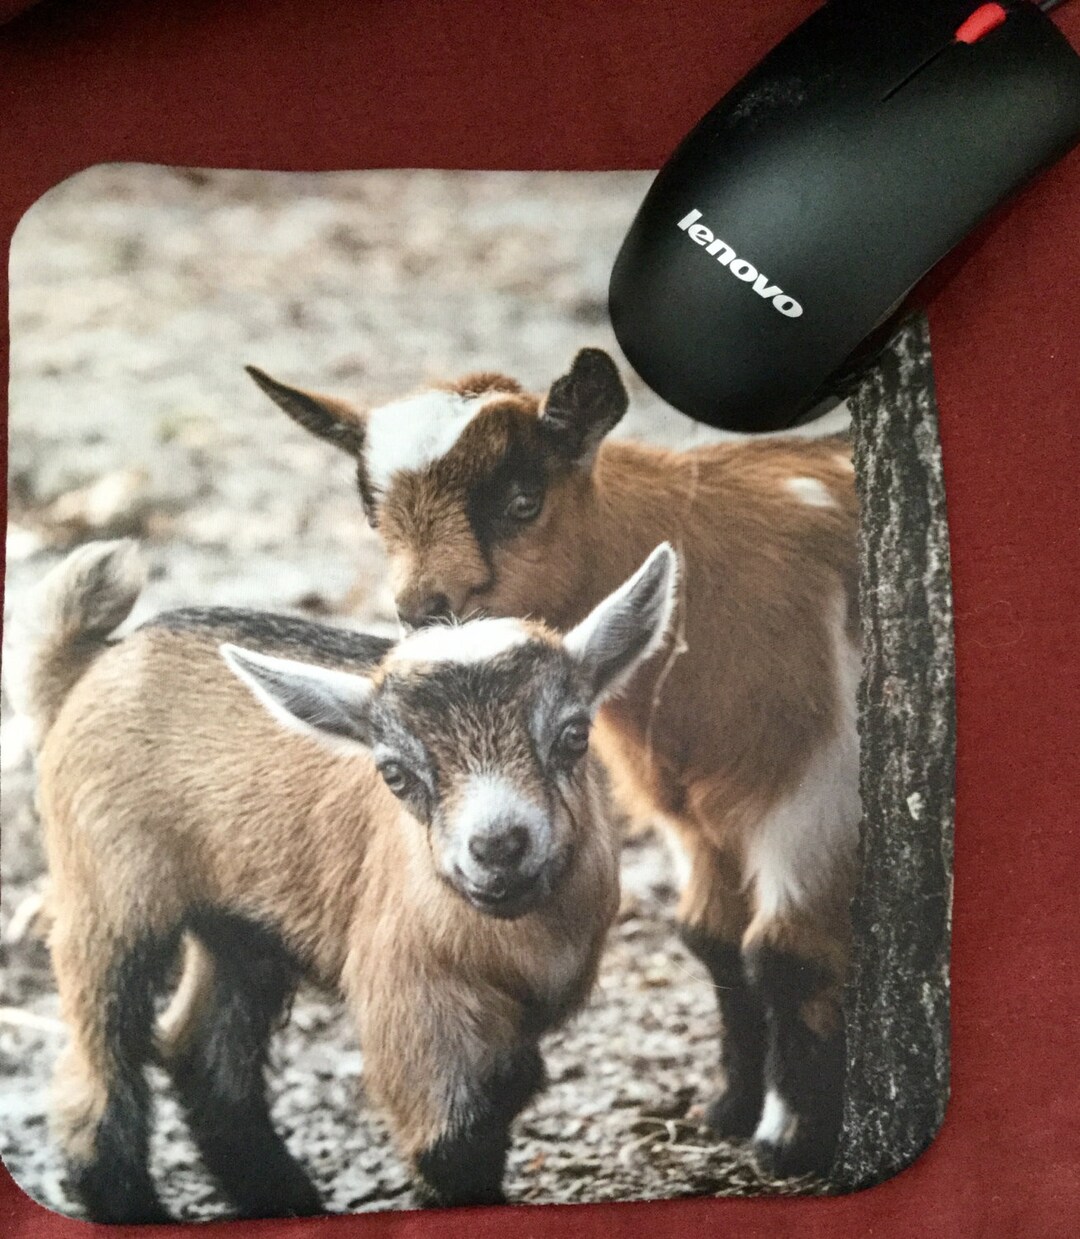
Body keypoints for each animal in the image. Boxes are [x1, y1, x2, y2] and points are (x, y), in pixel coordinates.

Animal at [11, 537, 677, 1223]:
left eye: (574, 735)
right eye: (395, 774)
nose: (497, 846)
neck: (521, 944)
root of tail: (86, 668)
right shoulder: (412, 1002)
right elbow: (453, 1142)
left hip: (241, 927)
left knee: (205, 1051)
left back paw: (283, 1198)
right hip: (105, 891)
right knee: (100, 1048)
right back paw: (129, 1203)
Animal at [247, 348, 861, 1176]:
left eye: (522, 501)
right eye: (376, 514)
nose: (425, 611)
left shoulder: (816, 791)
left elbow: (784, 952)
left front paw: (788, 1138)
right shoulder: (692, 815)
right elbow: (712, 940)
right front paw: (729, 1107)